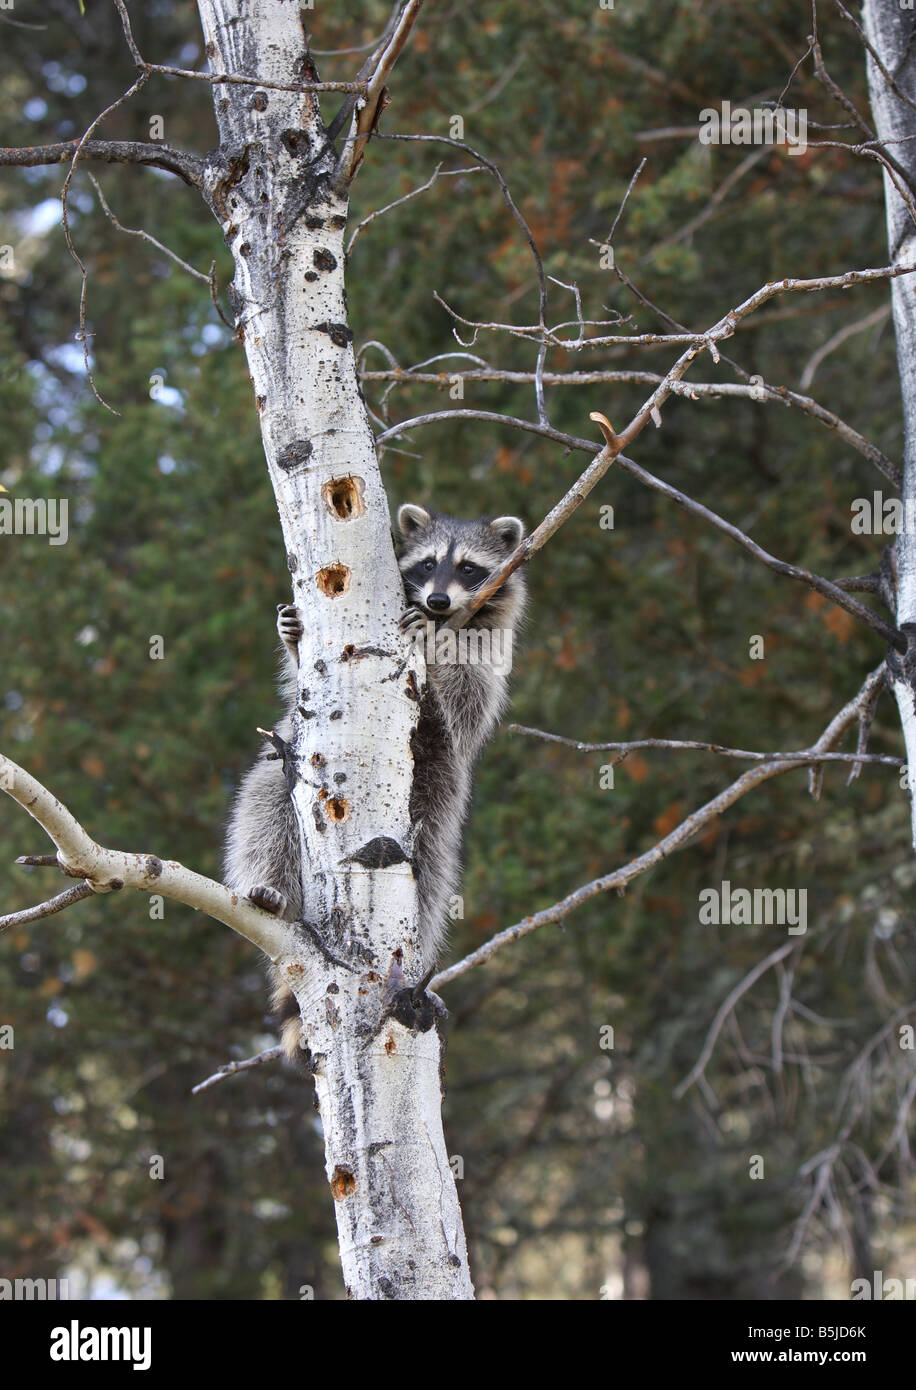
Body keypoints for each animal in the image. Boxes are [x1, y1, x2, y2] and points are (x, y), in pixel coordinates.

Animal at [223, 503, 527, 1063]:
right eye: (426, 564)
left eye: (469, 568)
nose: (436, 601)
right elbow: (299, 682)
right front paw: (290, 638)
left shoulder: (490, 658)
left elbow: (466, 704)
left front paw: (437, 643)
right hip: (284, 765)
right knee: (264, 811)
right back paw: (271, 890)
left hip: (438, 792)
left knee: (430, 873)